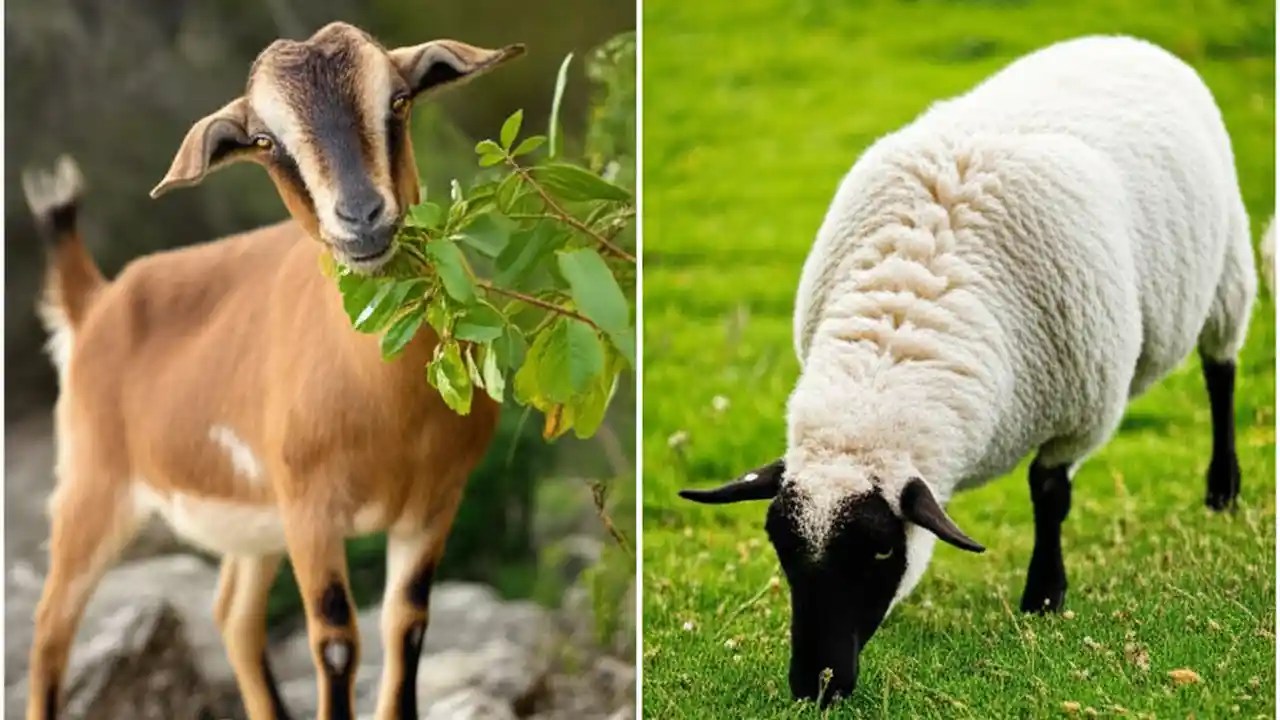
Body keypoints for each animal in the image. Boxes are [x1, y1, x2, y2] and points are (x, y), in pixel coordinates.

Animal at [21, 21, 523, 720]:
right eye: (265, 140)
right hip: (93, 494)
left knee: (233, 617)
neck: (384, 400)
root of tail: (95, 301)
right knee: (50, 629)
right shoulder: (312, 515)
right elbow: (336, 642)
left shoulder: (431, 507)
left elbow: (408, 627)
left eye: (397, 100)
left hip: (254, 532)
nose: (361, 218)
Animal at [680, 35, 1256, 704]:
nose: (816, 686)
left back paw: (1222, 489)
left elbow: (1049, 494)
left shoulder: (1082, 413)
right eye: (780, 545)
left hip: (1228, 267)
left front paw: (1044, 597)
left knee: (1221, 371)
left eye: (882, 551)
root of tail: (1121, 41)